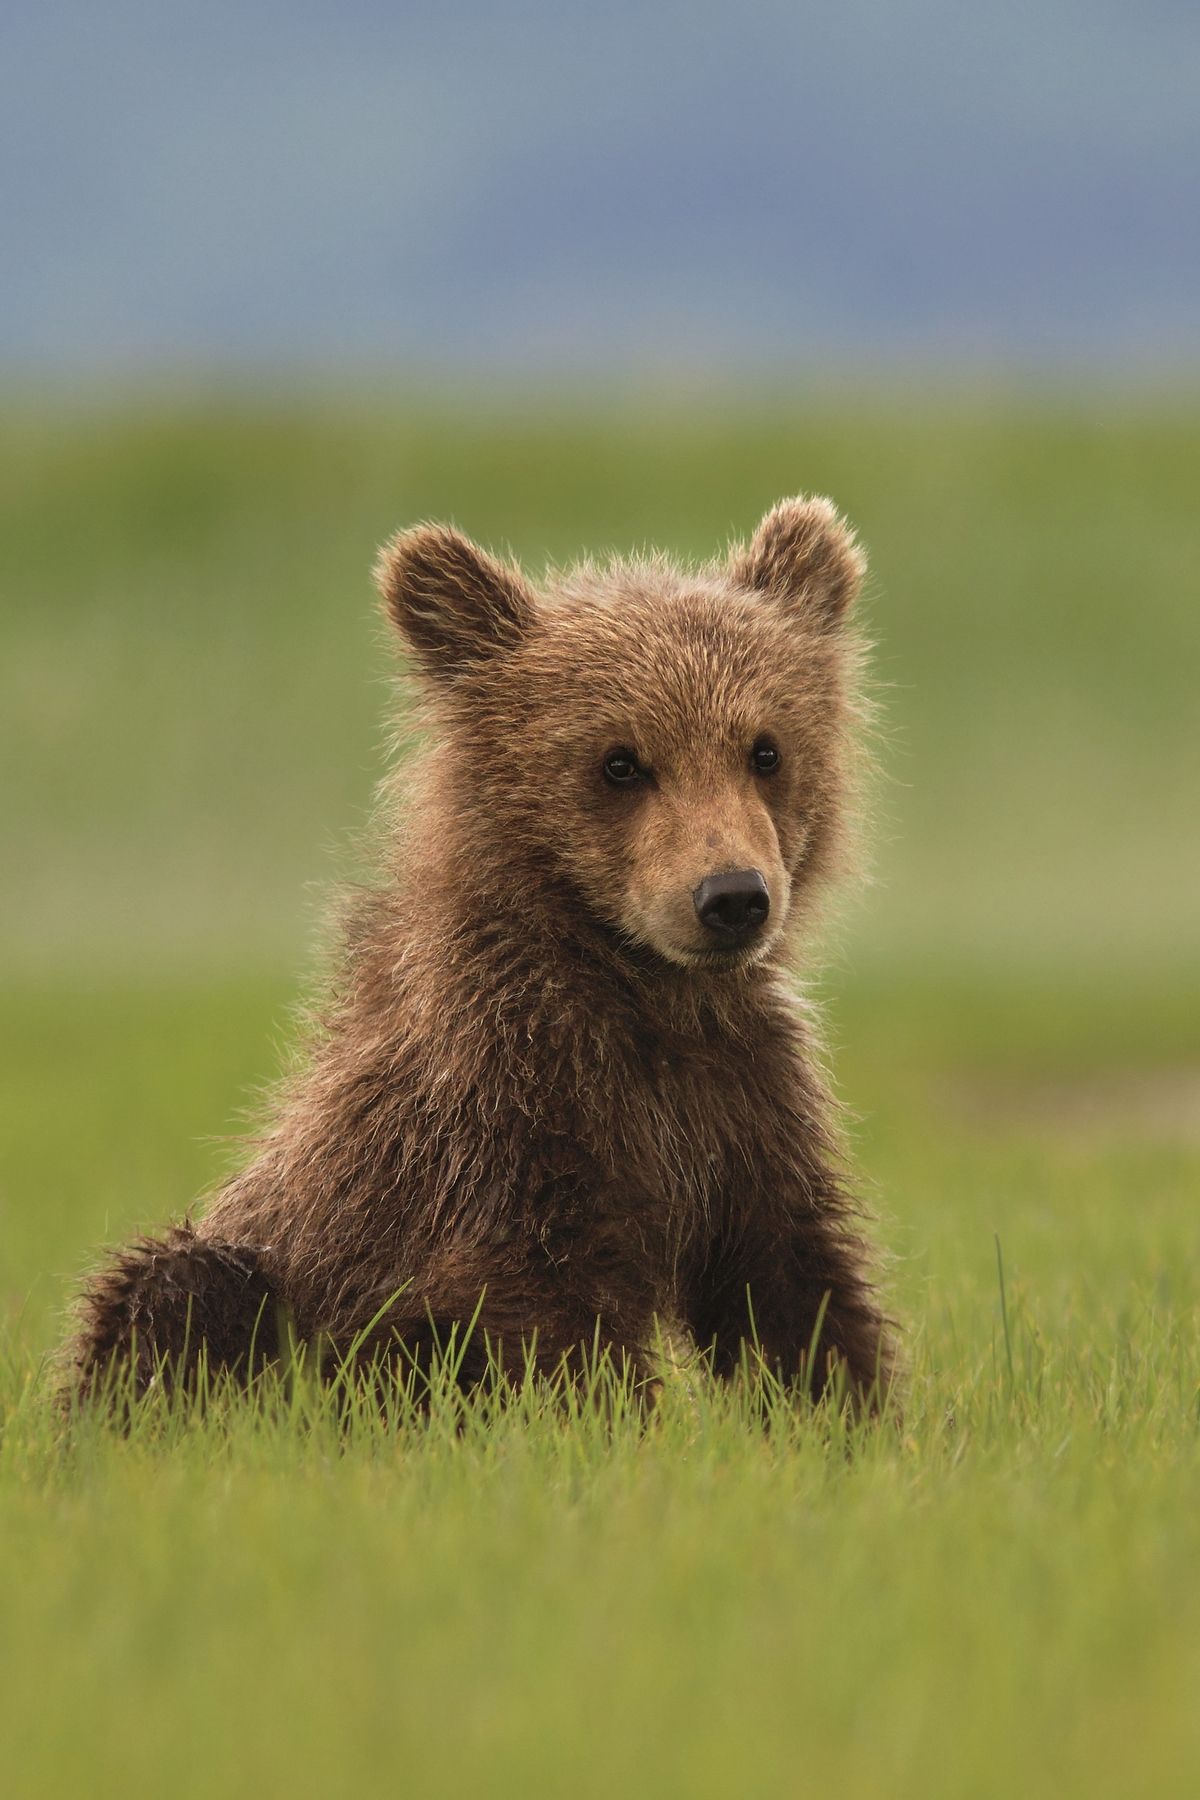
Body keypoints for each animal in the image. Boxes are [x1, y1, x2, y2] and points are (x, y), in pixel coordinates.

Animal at [69, 497, 895, 1409]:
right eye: (620, 761)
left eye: (766, 749)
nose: (732, 897)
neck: (645, 995)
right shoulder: (503, 1113)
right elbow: (552, 1311)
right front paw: (615, 1417)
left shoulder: (743, 1104)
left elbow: (793, 1290)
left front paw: (846, 1410)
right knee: (181, 1290)